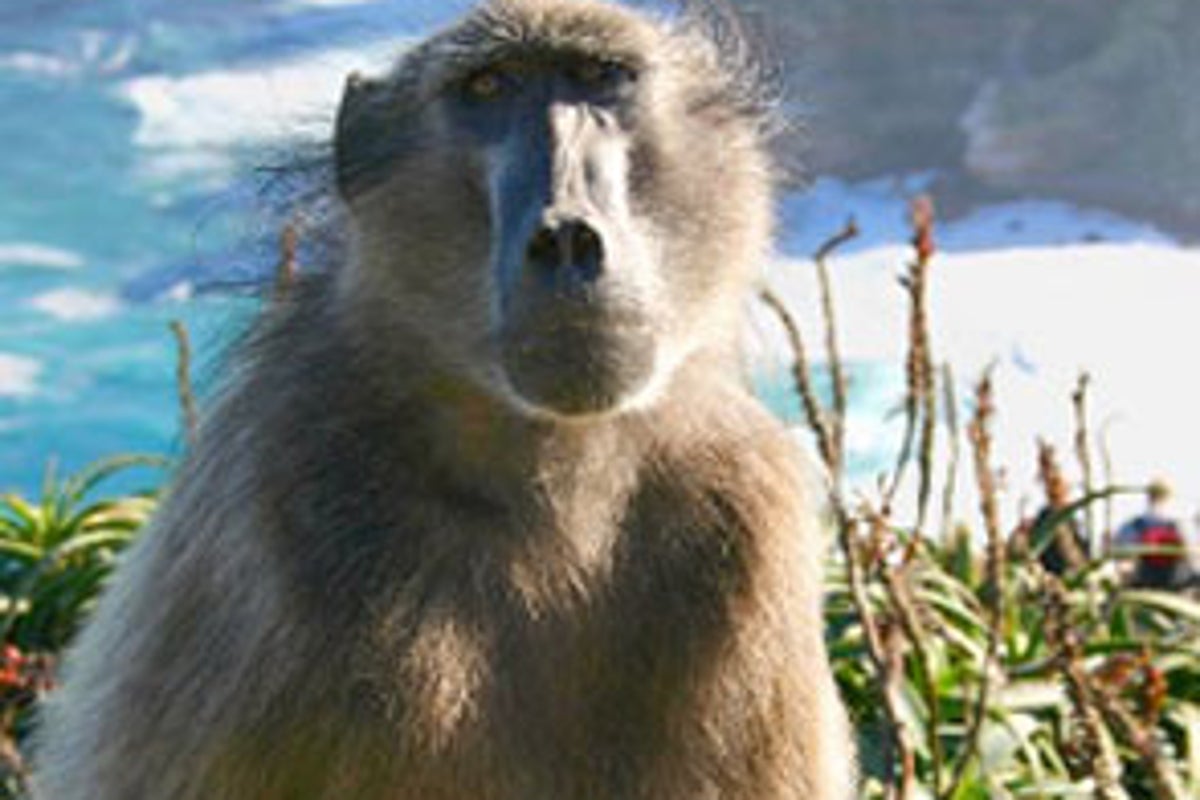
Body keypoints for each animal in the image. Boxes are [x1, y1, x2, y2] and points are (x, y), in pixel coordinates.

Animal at [33, 1, 854, 797]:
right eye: (488, 88)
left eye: (600, 77)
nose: (566, 239)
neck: (555, 480)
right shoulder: (292, 495)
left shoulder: (748, 508)